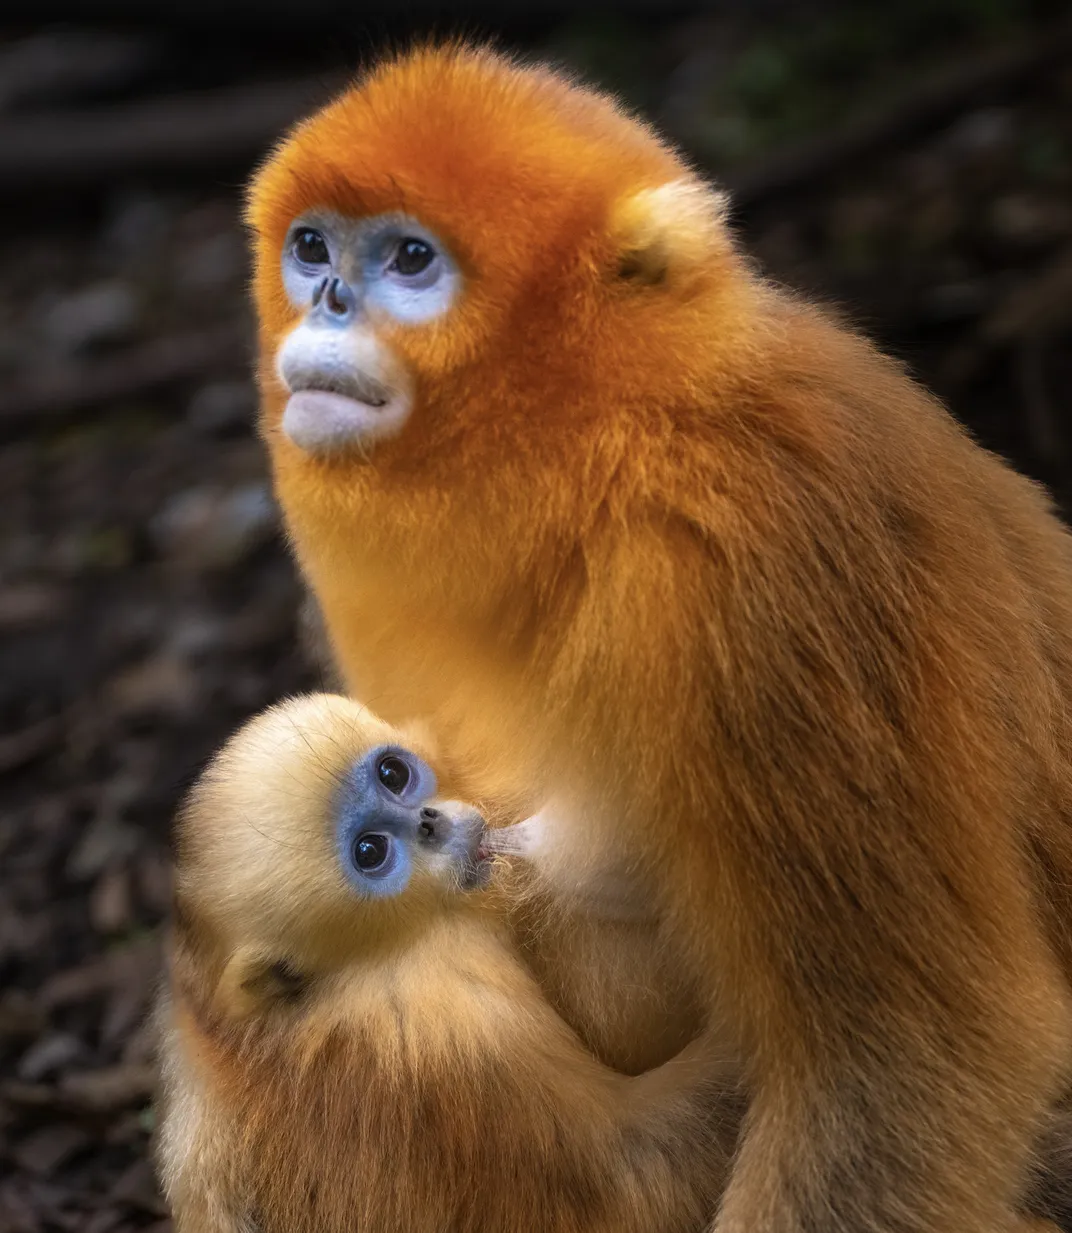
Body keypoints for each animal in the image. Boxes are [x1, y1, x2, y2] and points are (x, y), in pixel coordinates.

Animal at [244, 43, 1072, 1233]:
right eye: (311, 245)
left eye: (410, 259)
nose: (327, 298)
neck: (614, 455)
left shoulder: (758, 568)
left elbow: (910, 1048)